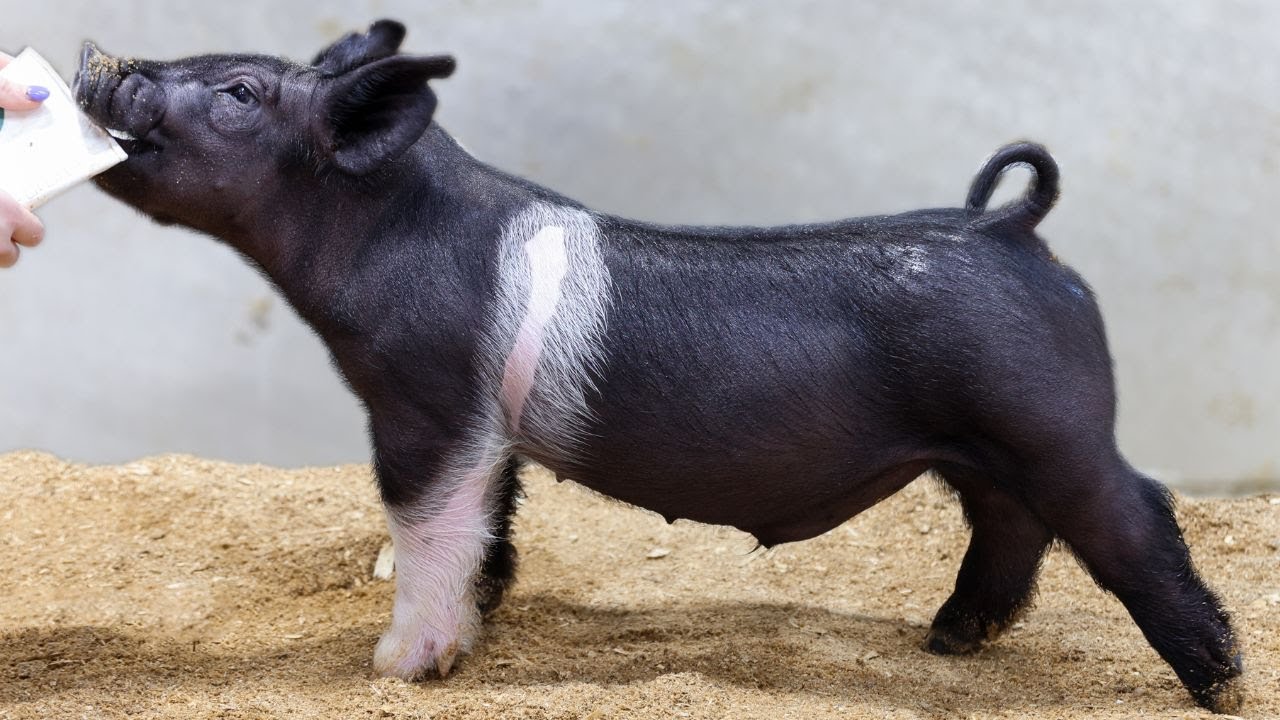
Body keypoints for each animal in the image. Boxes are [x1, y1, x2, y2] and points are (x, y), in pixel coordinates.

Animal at [72, 19, 1243, 713]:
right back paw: (947, 642)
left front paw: (396, 668)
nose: (99, 58)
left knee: (1131, 514)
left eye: (237, 92)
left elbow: (425, 526)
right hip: (982, 443)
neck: (384, 227)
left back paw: (1219, 686)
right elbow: (491, 524)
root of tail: (1008, 228)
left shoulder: (425, 402)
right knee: (1011, 526)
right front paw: (482, 628)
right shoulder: (490, 432)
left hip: (1049, 420)